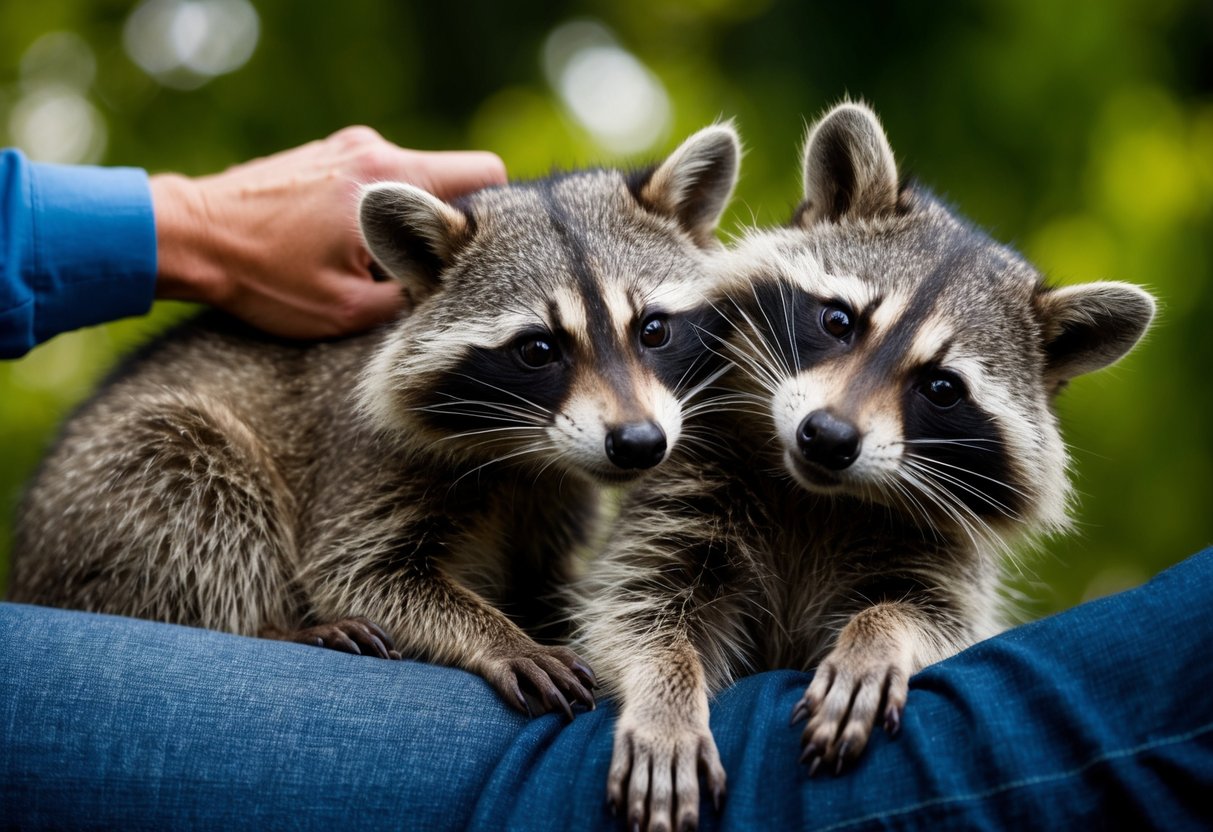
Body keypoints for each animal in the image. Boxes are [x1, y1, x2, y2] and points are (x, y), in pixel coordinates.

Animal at [9, 124, 740, 719]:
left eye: (652, 329)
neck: (526, 453)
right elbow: (359, 572)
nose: (638, 444)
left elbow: (547, 578)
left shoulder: (555, 495)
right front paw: (496, 635)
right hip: (119, 481)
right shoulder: (367, 462)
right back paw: (270, 625)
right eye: (537, 349)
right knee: (190, 482)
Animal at [572, 103, 1155, 830]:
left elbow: (937, 620)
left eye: (941, 387)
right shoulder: (686, 496)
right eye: (838, 320)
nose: (827, 437)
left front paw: (878, 636)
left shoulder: (944, 556)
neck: (817, 496)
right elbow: (639, 606)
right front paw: (664, 695)